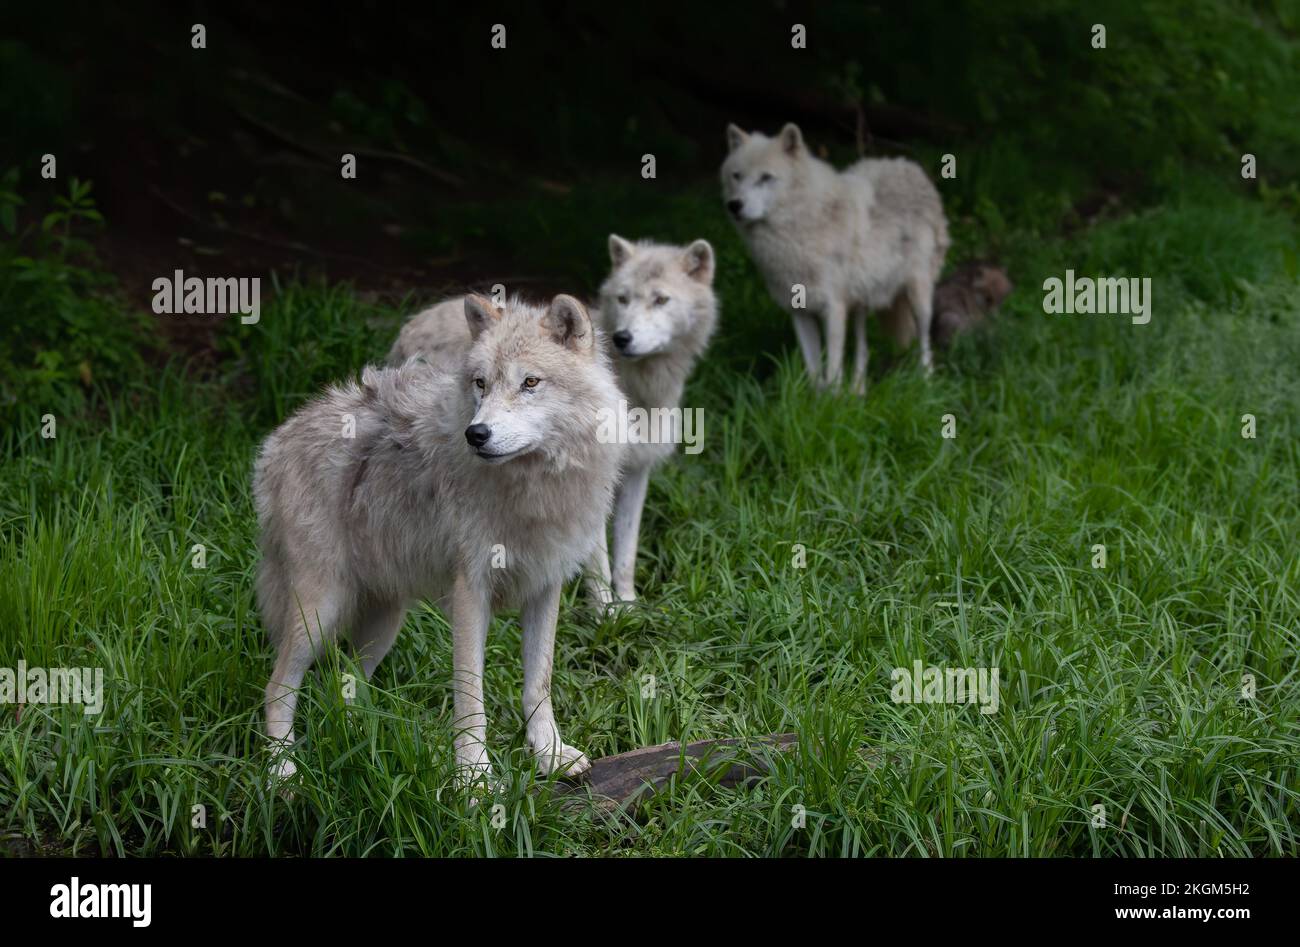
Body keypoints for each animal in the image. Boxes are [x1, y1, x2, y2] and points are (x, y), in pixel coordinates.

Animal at [255, 293, 623, 786]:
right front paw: (476, 781)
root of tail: (277, 439)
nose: (476, 434)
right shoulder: (471, 592)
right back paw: (283, 775)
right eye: (481, 383)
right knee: (276, 688)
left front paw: (549, 754)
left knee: (343, 683)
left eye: (530, 382)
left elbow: (538, 684)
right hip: (319, 612)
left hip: (384, 620)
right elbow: (471, 698)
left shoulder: (545, 589)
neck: (534, 486)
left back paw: (363, 743)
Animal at [389, 236, 718, 604]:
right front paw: (607, 611)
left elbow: (626, 553)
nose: (623, 337)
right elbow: (598, 564)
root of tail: (413, 323)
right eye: (623, 298)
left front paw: (629, 603)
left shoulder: (634, 472)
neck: (637, 393)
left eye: (660, 299)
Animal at [721, 122, 949, 393]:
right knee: (863, 349)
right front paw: (816, 400)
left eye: (766, 177)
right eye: (737, 176)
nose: (734, 205)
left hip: (918, 298)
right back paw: (858, 392)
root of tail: (912, 169)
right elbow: (813, 370)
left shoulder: (833, 310)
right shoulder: (800, 312)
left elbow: (832, 369)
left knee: (925, 344)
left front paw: (833, 400)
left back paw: (926, 384)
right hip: (861, 302)